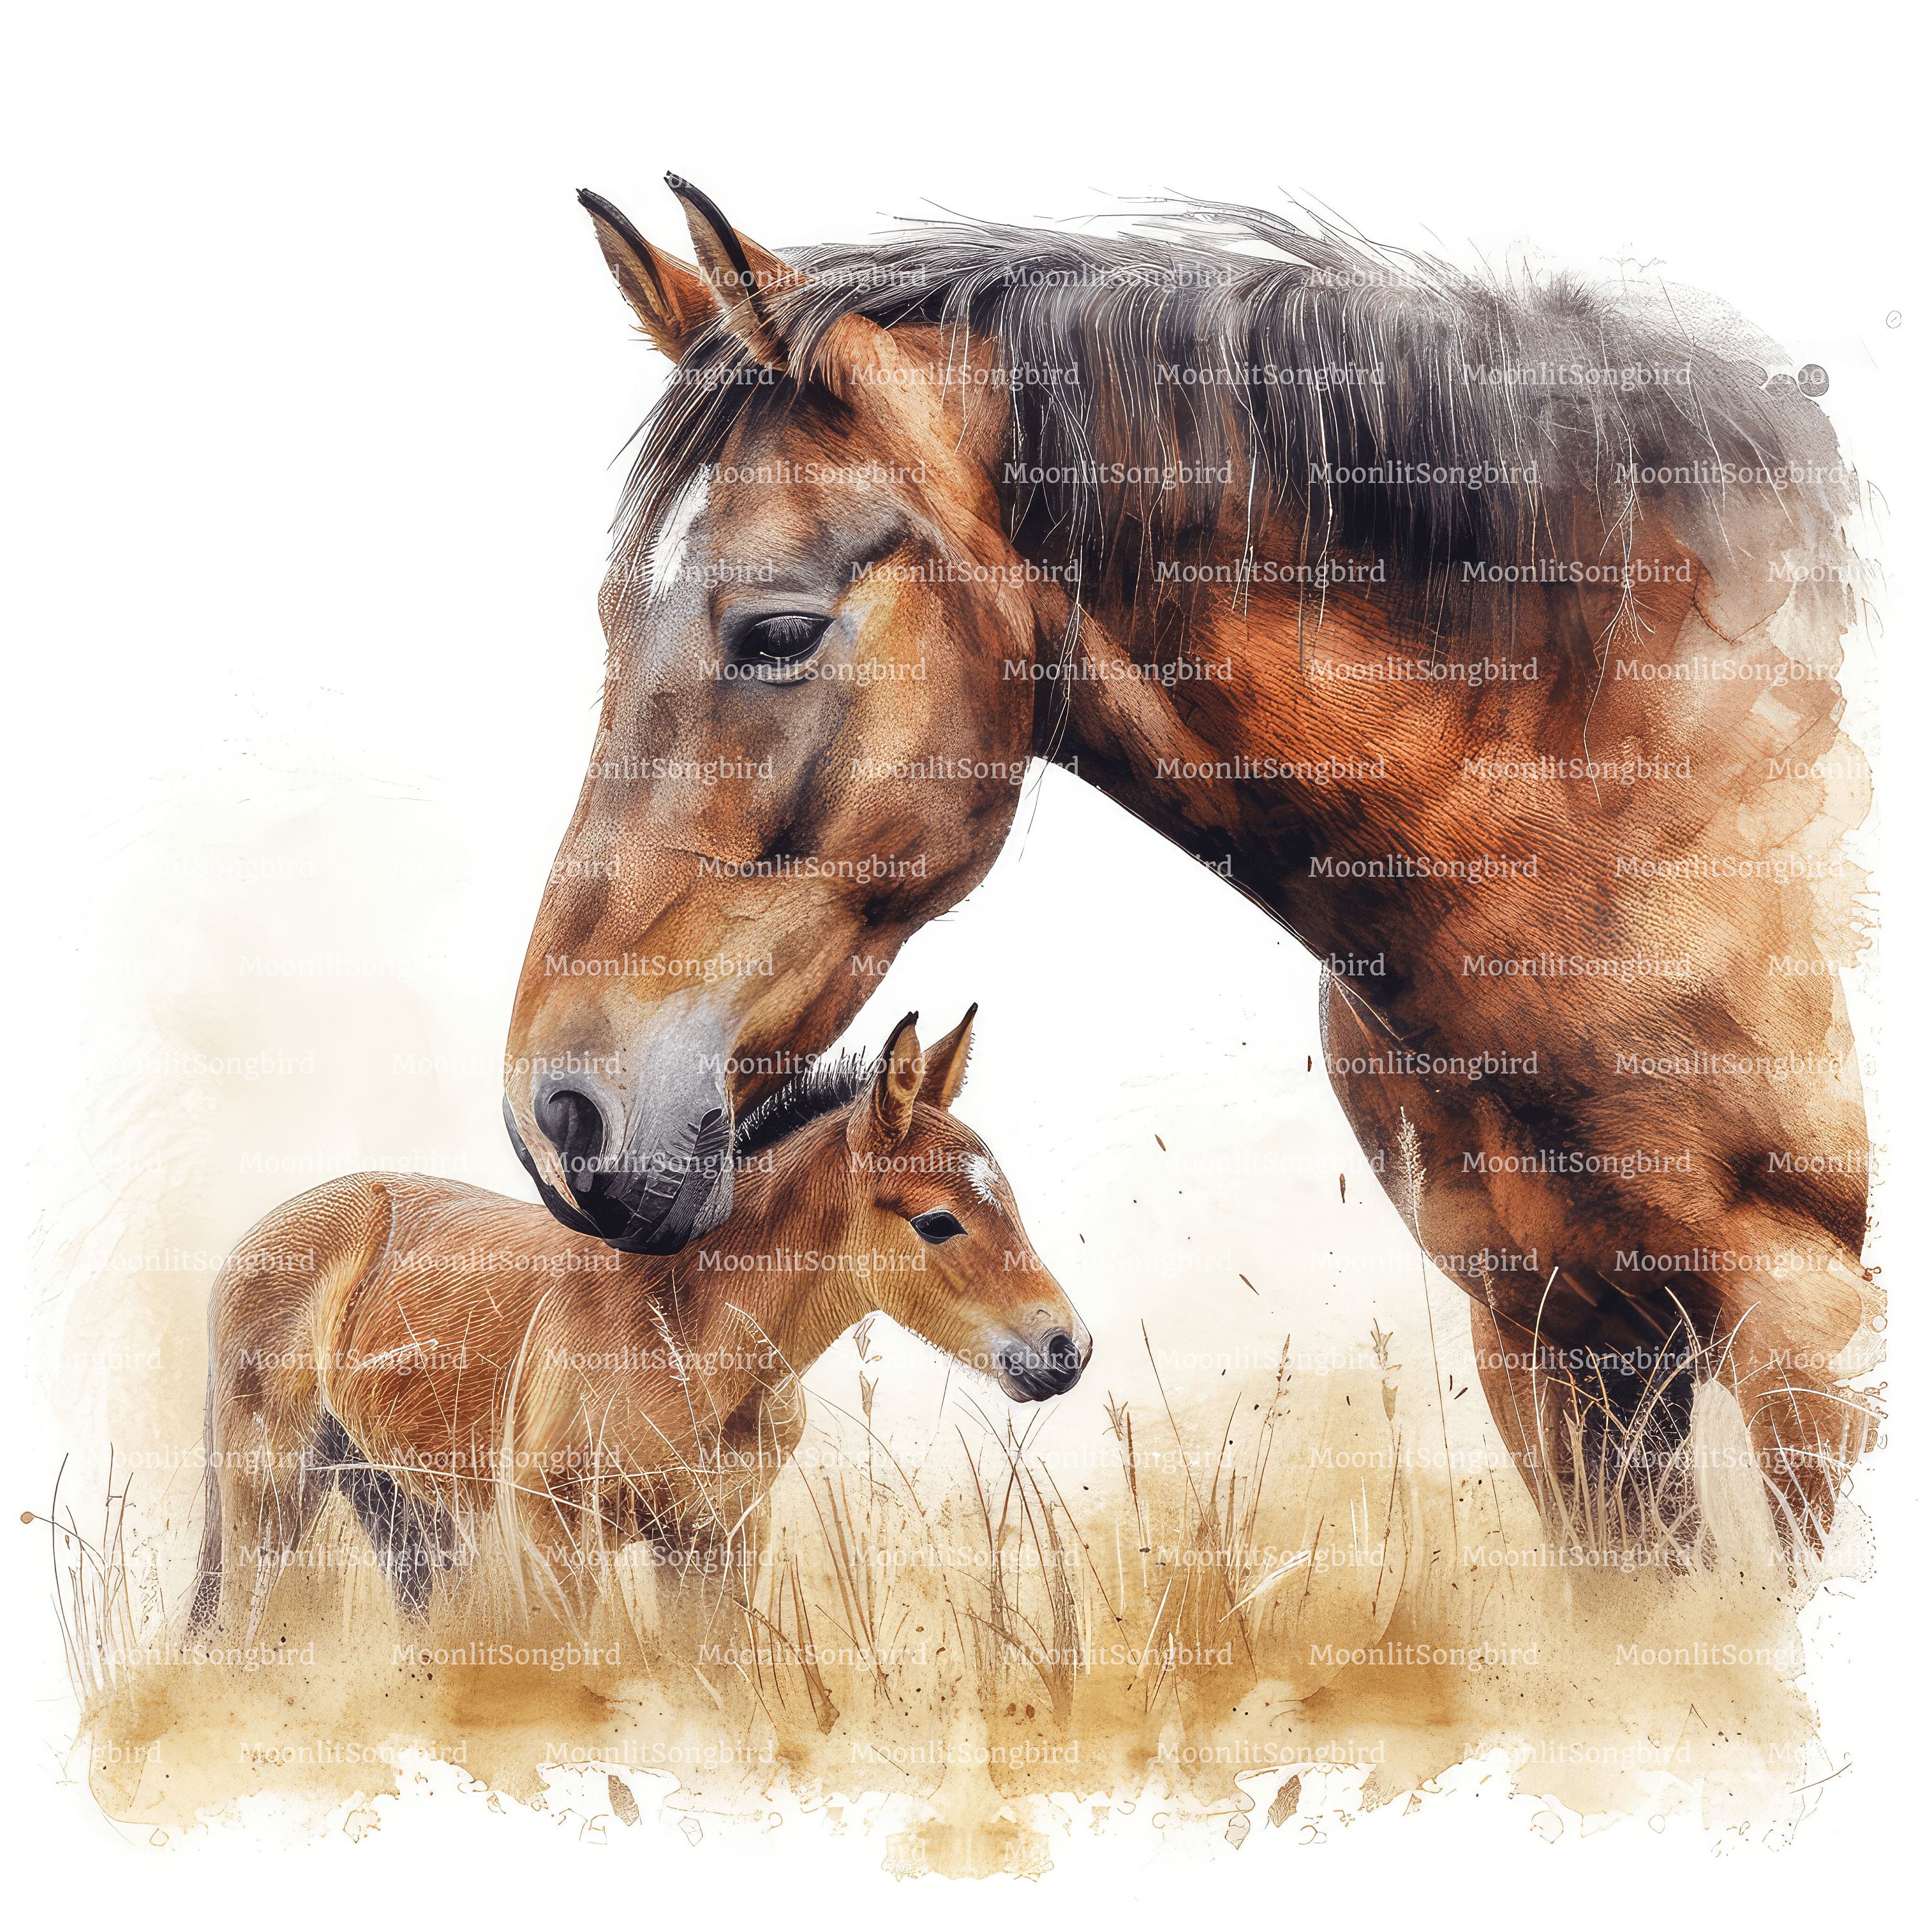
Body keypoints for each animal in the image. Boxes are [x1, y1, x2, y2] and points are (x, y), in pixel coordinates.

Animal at [192, 1007, 1088, 1636]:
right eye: (938, 1222)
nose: (1066, 1349)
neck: (686, 1333)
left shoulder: (716, 1542)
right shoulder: (556, 1536)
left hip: (399, 1503)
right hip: (271, 1490)